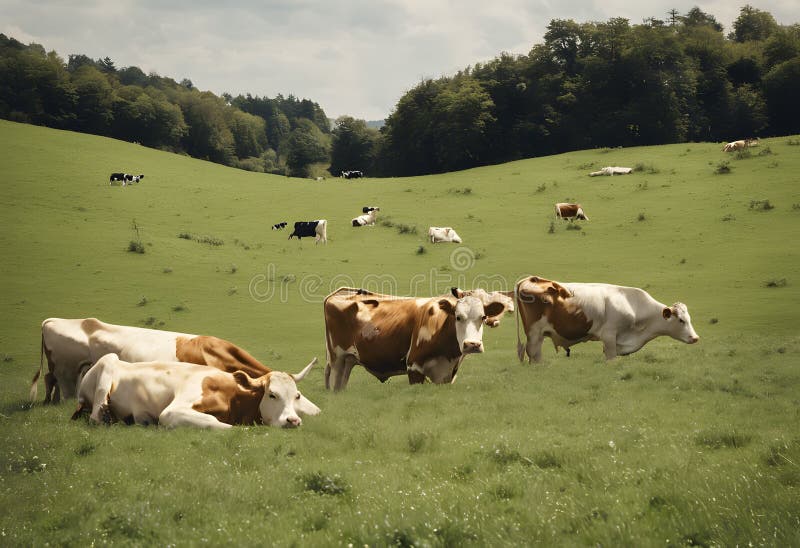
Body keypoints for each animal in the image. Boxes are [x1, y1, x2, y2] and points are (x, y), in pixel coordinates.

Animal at [71, 353, 320, 429]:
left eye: (296, 395)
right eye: (272, 394)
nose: (293, 420)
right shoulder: (171, 412)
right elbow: (219, 425)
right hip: (108, 362)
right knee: (96, 417)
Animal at [323, 287, 514, 390]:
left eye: (483, 317)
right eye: (458, 317)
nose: (472, 344)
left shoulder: (446, 376)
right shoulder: (414, 367)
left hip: (346, 362)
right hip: (337, 361)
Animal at [514, 275, 699, 363]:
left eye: (689, 318)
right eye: (681, 320)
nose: (695, 338)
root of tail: (530, 279)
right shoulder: (609, 336)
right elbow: (611, 359)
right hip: (535, 334)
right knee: (534, 354)